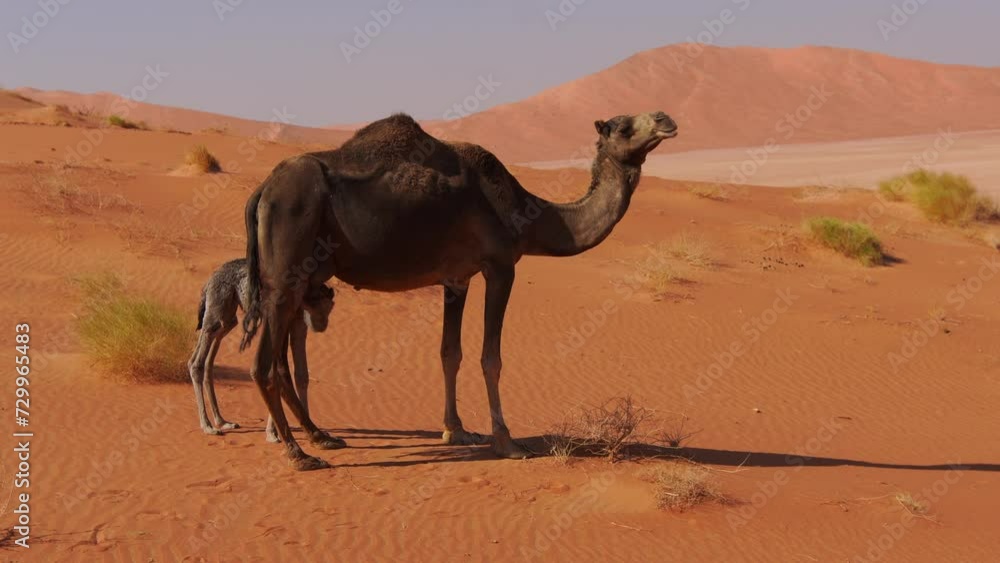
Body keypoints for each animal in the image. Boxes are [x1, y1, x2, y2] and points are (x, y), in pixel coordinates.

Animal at [188, 258, 335, 440]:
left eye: (329, 308)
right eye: (317, 306)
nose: (321, 324)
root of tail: (209, 281)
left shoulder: (299, 324)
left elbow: (301, 375)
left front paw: (313, 430)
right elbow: (278, 372)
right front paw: (272, 433)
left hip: (229, 316)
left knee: (209, 355)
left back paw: (222, 421)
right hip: (217, 305)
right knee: (197, 360)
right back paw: (208, 426)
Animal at [240, 111, 678, 470]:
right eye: (623, 127)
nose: (665, 119)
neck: (529, 215)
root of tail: (263, 191)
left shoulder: (457, 278)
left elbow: (450, 352)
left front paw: (456, 430)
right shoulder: (501, 267)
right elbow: (491, 357)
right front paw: (507, 442)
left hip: (299, 278)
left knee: (280, 361)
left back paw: (321, 437)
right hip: (285, 270)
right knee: (264, 364)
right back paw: (298, 454)